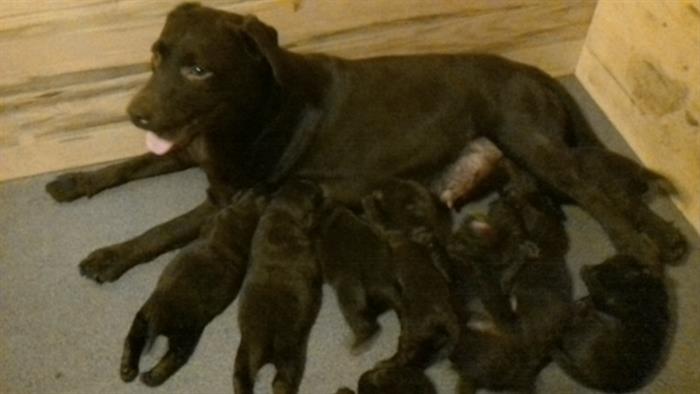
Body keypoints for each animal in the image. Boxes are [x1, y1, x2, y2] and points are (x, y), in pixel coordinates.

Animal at [46, 2, 688, 286]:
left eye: (199, 70)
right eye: (156, 58)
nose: (134, 112)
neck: (246, 111)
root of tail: (537, 74)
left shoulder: (231, 196)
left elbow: (162, 229)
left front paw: (112, 256)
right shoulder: (187, 148)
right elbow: (126, 165)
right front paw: (75, 179)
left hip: (534, 145)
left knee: (601, 194)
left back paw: (643, 249)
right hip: (537, 160)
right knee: (605, 184)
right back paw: (670, 237)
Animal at [119, 189, 266, 386]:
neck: (241, 219)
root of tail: (160, 318)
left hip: (168, 326)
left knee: (157, 348)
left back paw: (140, 374)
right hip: (170, 328)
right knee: (159, 349)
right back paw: (139, 372)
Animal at [234, 179, 324, 394]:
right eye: (316, 195)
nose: (320, 188)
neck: (280, 215)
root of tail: (264, 344)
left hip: (244, 353)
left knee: (240, 377)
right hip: (291, 356)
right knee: (282, 381)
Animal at [360, 179, 460, 370]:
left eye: (392, 187)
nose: (383, 184)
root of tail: (443, 313)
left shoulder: (388, 231)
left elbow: (376, 219)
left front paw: (369, 200)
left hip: (411, 330)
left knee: (405, 352)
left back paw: (385, 363)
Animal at [552, 254, 672, 392]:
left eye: (607, 269)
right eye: (605, 262)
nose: (590, 267)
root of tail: (602, 385)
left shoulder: (607, 300)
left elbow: (595, 290)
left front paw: (586, 274)